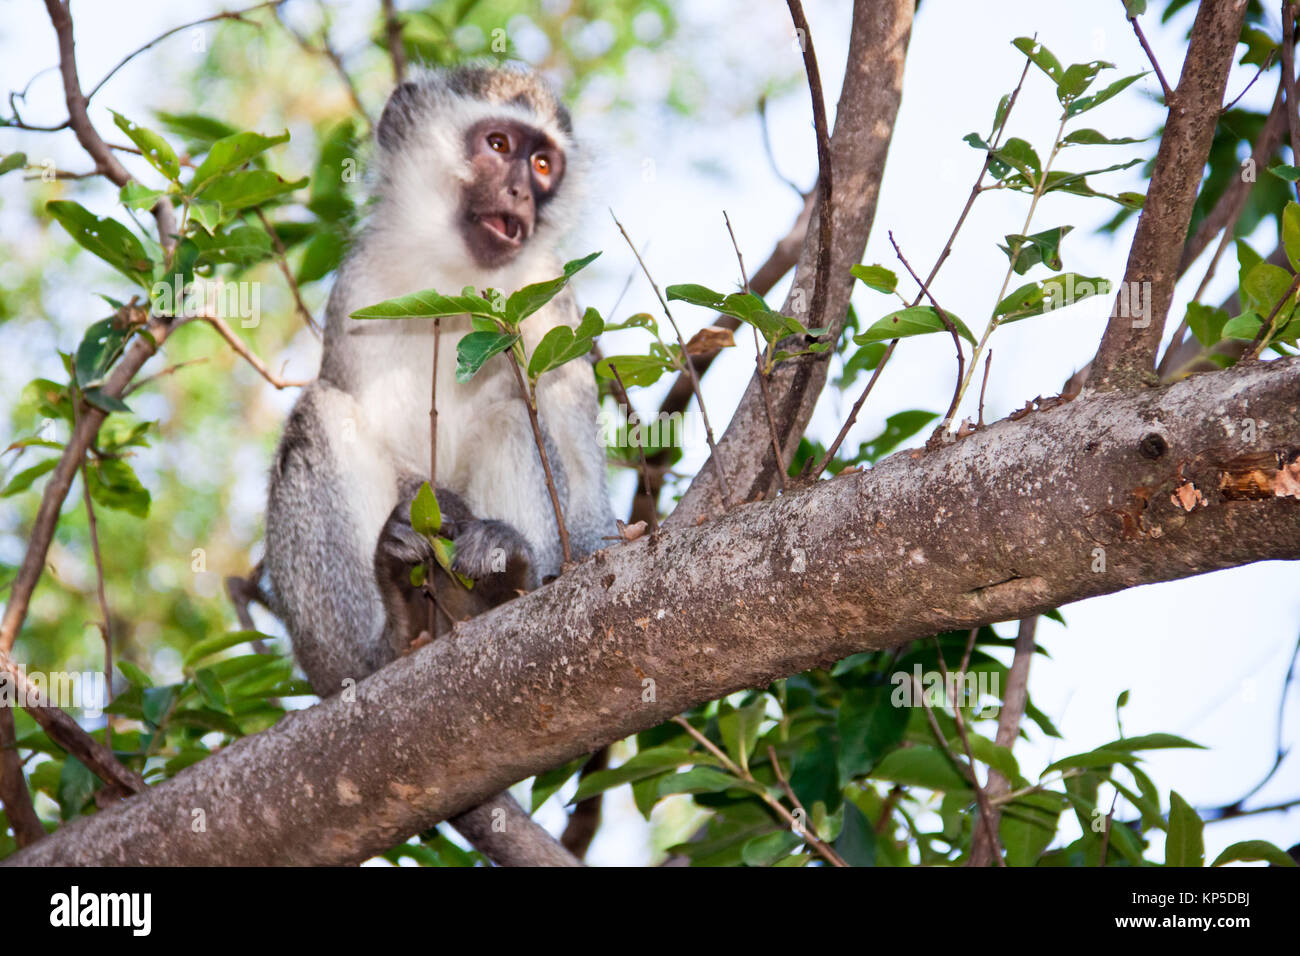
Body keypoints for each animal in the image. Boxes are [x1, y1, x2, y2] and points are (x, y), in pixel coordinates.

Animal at [263, 64, 616, 699]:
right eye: (498, 145)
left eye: (543, 164)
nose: (521, 192)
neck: (457, 282)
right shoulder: (358, 289)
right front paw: (429, 506)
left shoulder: (553, 303)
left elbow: (586, 493)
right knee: (317, 413)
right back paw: (390, 636)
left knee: (514, 416)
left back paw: (503, 582)